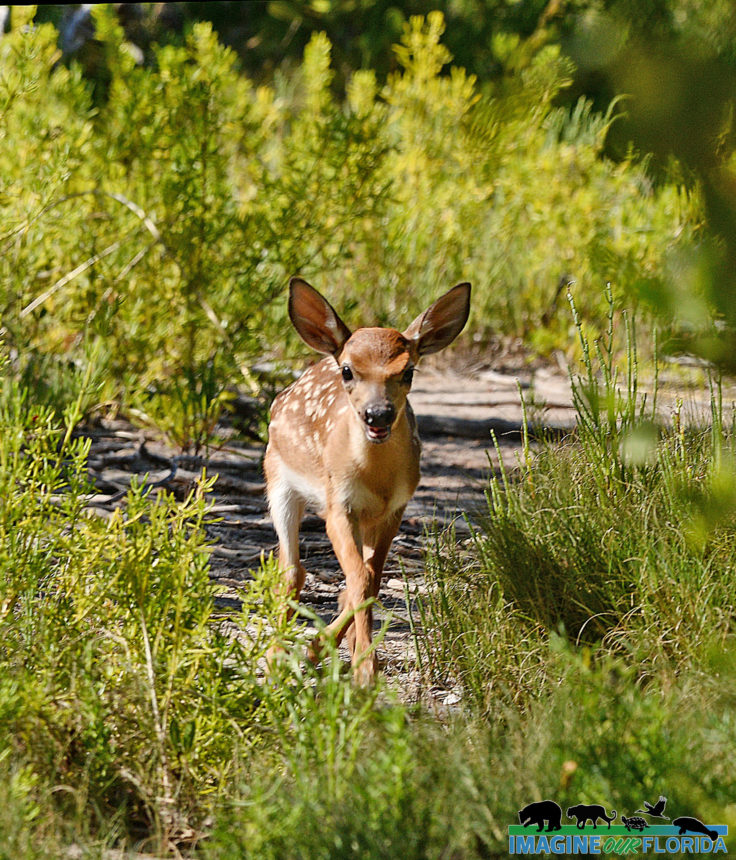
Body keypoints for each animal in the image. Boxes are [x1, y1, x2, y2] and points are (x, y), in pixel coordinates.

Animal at [264, 277, 471, 683]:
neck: (376, 480)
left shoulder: (396, 508)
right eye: (348, 371)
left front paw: (355, 660)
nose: (378, 414)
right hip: (277, 479)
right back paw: (277, 654)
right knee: (293, 570)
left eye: (408, 371)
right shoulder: (338, 505)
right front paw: (363, 671)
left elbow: (371, 581)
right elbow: (360, 579)